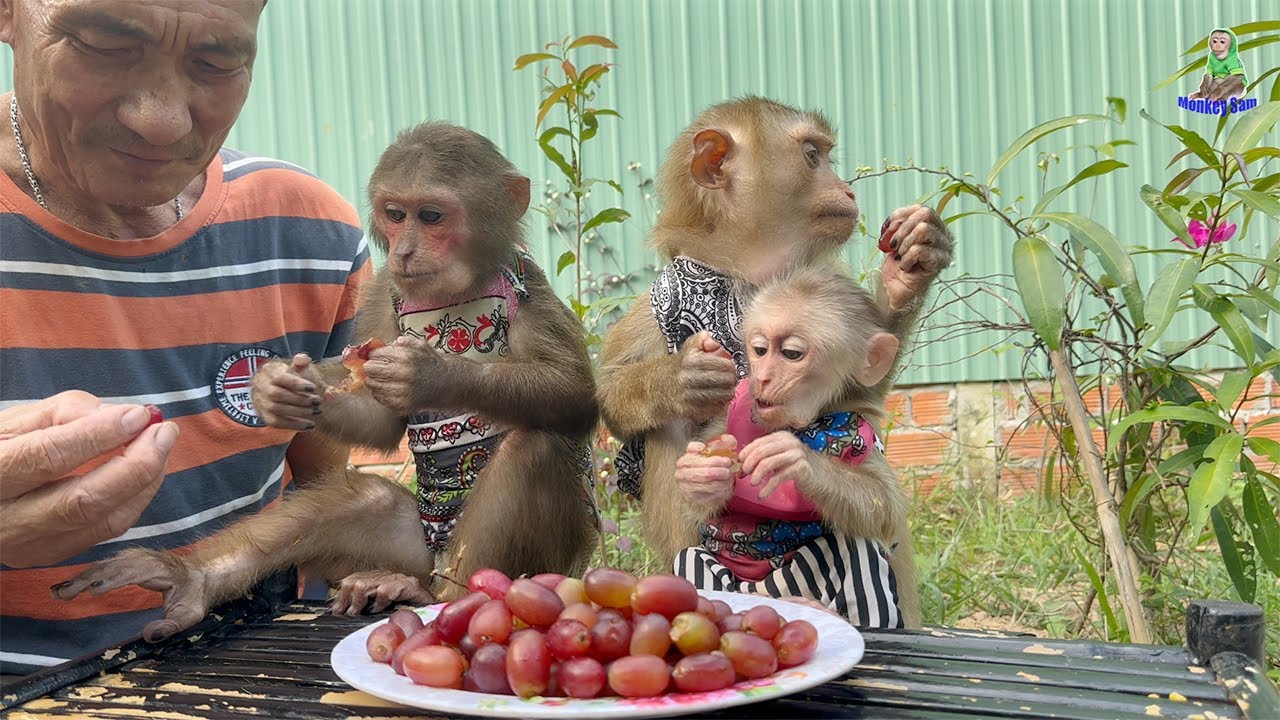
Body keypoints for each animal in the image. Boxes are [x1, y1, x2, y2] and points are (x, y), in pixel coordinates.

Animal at [52, 122, 599, 635]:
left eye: (432, 217)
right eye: (396, 214)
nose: (404, 250)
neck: (458, 293)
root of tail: (431, 556)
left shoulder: (528, 285)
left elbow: (573, 396)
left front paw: (429, 373)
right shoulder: (384, 291)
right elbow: (379, 420)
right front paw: (283, 391)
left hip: (543, 560)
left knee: (534, 447)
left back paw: (436, 595)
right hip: (408, 543)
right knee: (366, 500)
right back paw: (197, 580)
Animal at [597, 96, 952, 579]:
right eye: (812, 156)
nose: (848, 191)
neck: (752, 272)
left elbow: (864, 390)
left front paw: (909, 268)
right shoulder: (659, 297)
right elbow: (610, 392)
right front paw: (682, 378)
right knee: (664, 428)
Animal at [670, 268, 919, 627]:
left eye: (791, 354)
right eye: (760, 350)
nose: (763, 377)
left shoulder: (859, 430)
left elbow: (886, 507)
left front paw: (796, 459)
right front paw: (699, 476)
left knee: (855, 542)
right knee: (692, 559)